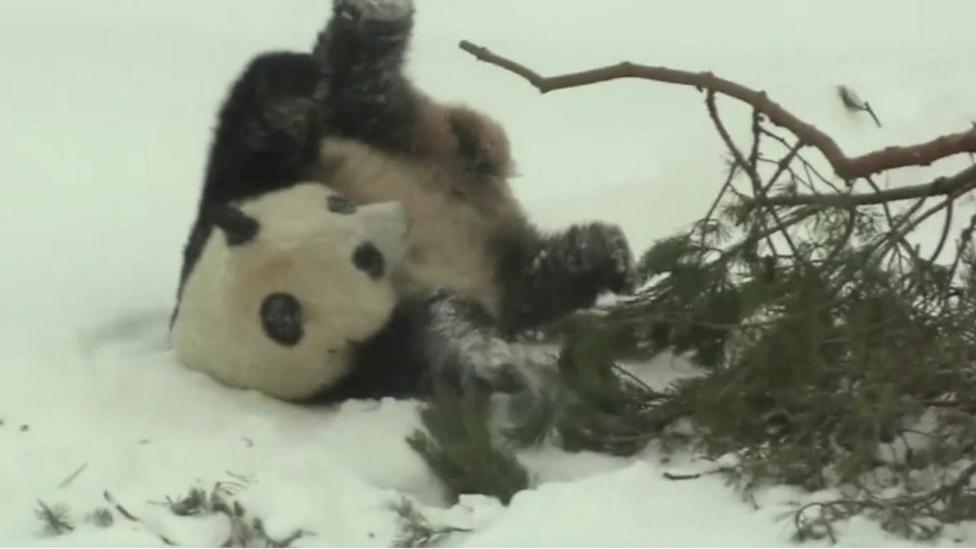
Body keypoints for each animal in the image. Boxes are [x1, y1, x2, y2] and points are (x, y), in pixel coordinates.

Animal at [171, 0, 634, 401]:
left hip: (392, 137)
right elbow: (446, 330)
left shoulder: (239, 188)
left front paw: (292, 91)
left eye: (340, 204)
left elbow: (255, 114)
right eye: (367, 259)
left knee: (362, 94)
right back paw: (593, 255)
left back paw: (370, 20)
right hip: (501, 262)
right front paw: (493, 370)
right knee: (534, 281)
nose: (401, 213)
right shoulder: (368, 362)